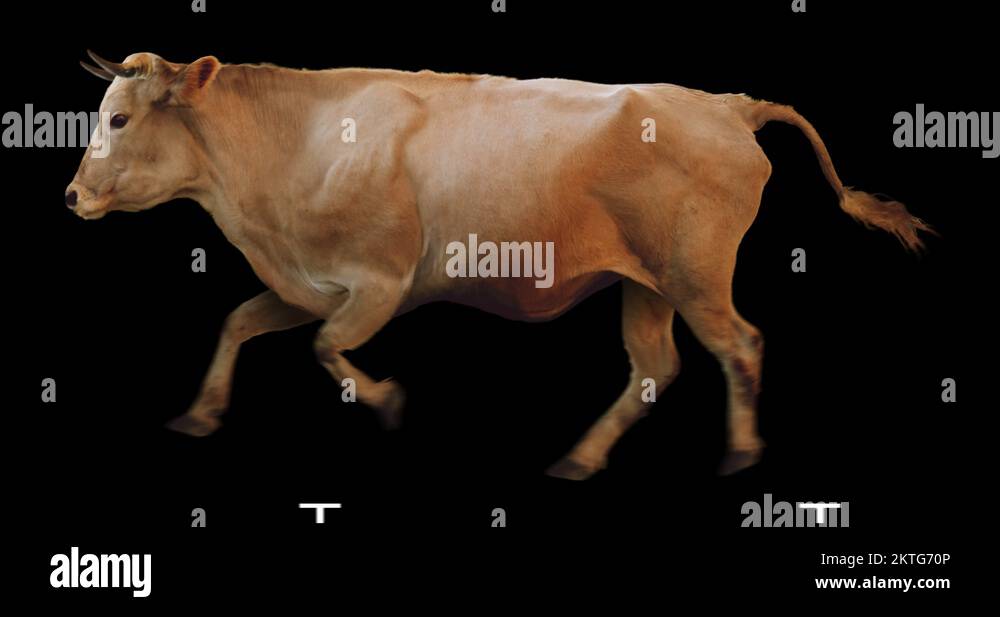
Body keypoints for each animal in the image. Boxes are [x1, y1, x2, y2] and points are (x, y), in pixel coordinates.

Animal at [67, 51, 934, 480]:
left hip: (695, 276)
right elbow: (239, 321)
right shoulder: (309, 283)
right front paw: (200, 412)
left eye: (119, 118)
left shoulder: (379, 283)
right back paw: (580, 457)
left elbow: (324, 347)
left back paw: (742, 450)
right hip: (644, 284)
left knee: (740, 344)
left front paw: (387, 401)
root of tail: (728, 104)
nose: (72, 194)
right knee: (656, 366)